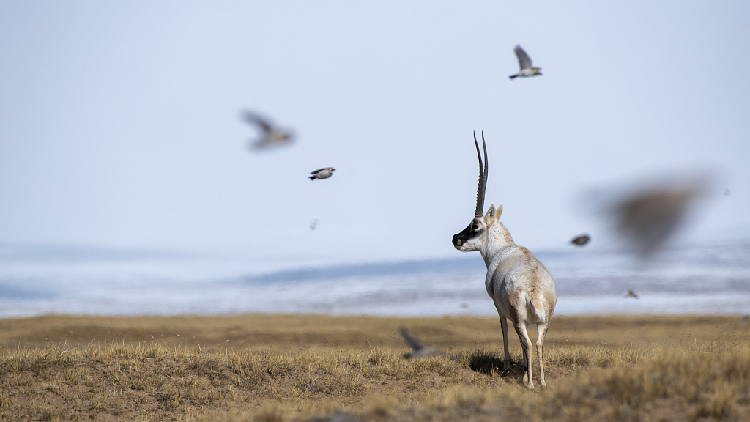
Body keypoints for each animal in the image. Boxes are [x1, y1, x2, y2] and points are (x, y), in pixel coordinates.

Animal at [452, 132, 557, 389]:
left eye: (475, 225)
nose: (455, 238)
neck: (503, 249)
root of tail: (534, 289)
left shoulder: (498, 306)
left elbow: (503, 329)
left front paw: (508, 365)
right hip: (544, 322)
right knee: (538, 343)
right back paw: (541, 381)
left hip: (520, 318)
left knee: (526, 341)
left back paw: (529, 383)